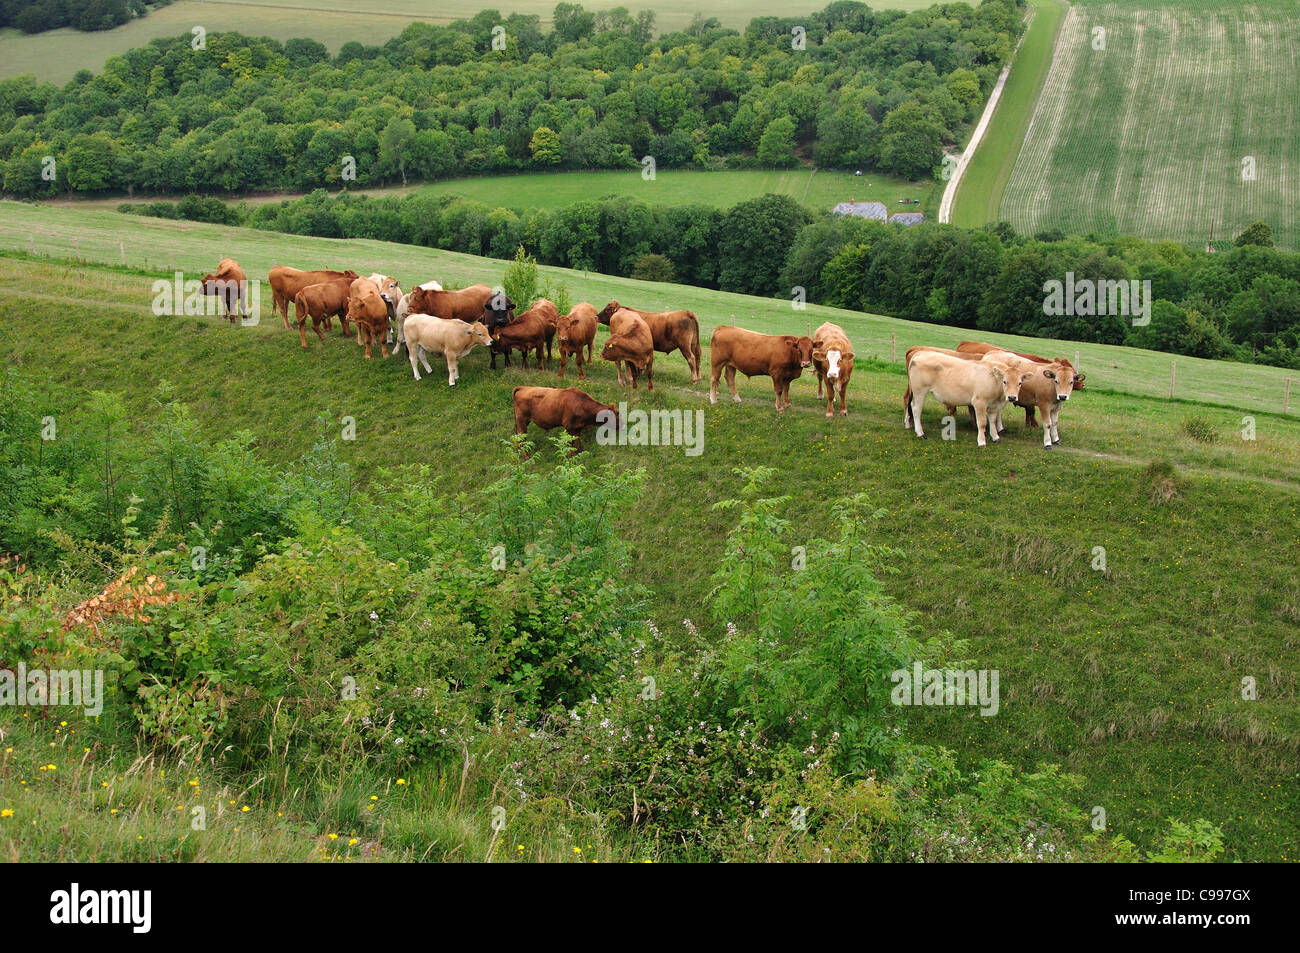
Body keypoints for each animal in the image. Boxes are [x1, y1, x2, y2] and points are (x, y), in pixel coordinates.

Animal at [956, 340, 1086, 429]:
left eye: (1073, 376)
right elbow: (1031, 412)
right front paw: (1034, 425)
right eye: (1074, 373)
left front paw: (1029, 424)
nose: (1083, 384)